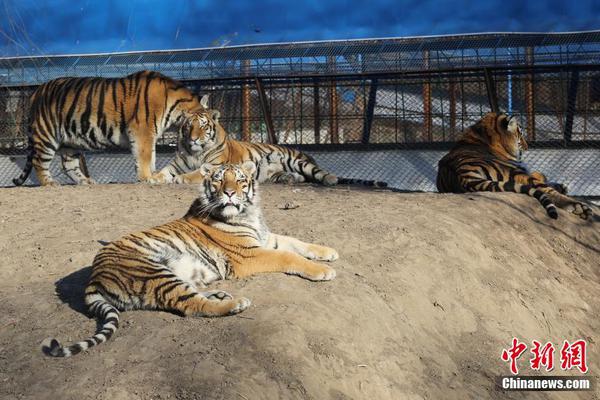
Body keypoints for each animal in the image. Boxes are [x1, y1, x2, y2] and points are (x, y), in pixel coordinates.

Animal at [12, 70, 207, 186]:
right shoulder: (142, 132)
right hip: (47, 135)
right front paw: (147, 177)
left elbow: (151, 156)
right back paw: (50, 183)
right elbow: (144, 156)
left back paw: (87, 182)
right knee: (38, 161)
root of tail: (36, 91)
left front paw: (154, 175)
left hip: (70, 140)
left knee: (68, 165)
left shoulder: (150, 135)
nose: (198, 140)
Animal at [42, 161, 338, 358]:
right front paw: (323, 271)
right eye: (218, 180)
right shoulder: (248, 254)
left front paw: (328, 252)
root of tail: (93, 278)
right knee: (190, 305)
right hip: (155, 272)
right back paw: (235, 303)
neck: (248, 214)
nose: (230, 193)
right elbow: (288, 255)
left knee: (195, 294)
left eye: (240, 180)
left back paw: (221, 295)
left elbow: (295, 242)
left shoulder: (264, 239)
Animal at [151, 106, 390, 188]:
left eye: (202, 127)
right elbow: (165, 170)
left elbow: (194, 174)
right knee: (300, 177)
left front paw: (181, 179)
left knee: (320, 174)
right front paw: (154, 178)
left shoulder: (216, 166)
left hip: (298, 161)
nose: (193, 139)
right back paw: (290, 179)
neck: (195, 152)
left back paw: (329, 179)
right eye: (188, 126)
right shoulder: (177, 163)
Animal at [434, 111, 592, 220]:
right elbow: (539, 175)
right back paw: (580, 208)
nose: (527, 147)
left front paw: (562, 186)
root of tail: (463, 175)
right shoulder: (520, 169)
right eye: (520, 134)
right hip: (515, 173)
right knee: (546, 190)